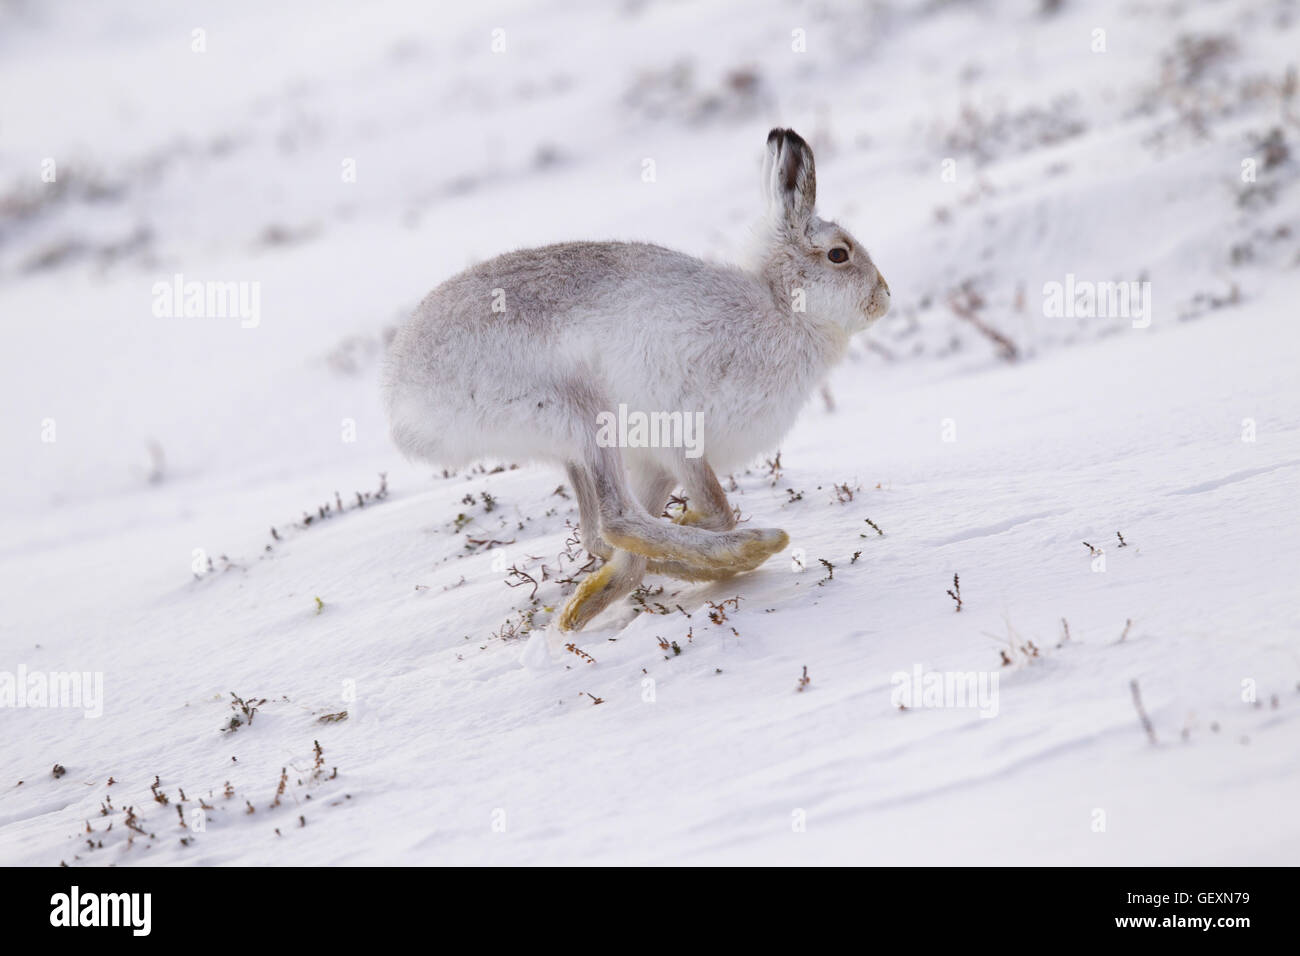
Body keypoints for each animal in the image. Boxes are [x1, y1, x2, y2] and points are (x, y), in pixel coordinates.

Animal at [384, 128, 890, 631]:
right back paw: (754, 546)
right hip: (583, 410)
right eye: (839, 255)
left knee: (597, 532)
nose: (884, 297)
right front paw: (694, 538)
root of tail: (407, 402)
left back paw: (585, 607)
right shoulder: (680, 434)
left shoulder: (657, 464)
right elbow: (716, 510)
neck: (784, 306)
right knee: (617, 519)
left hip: (572, 442)